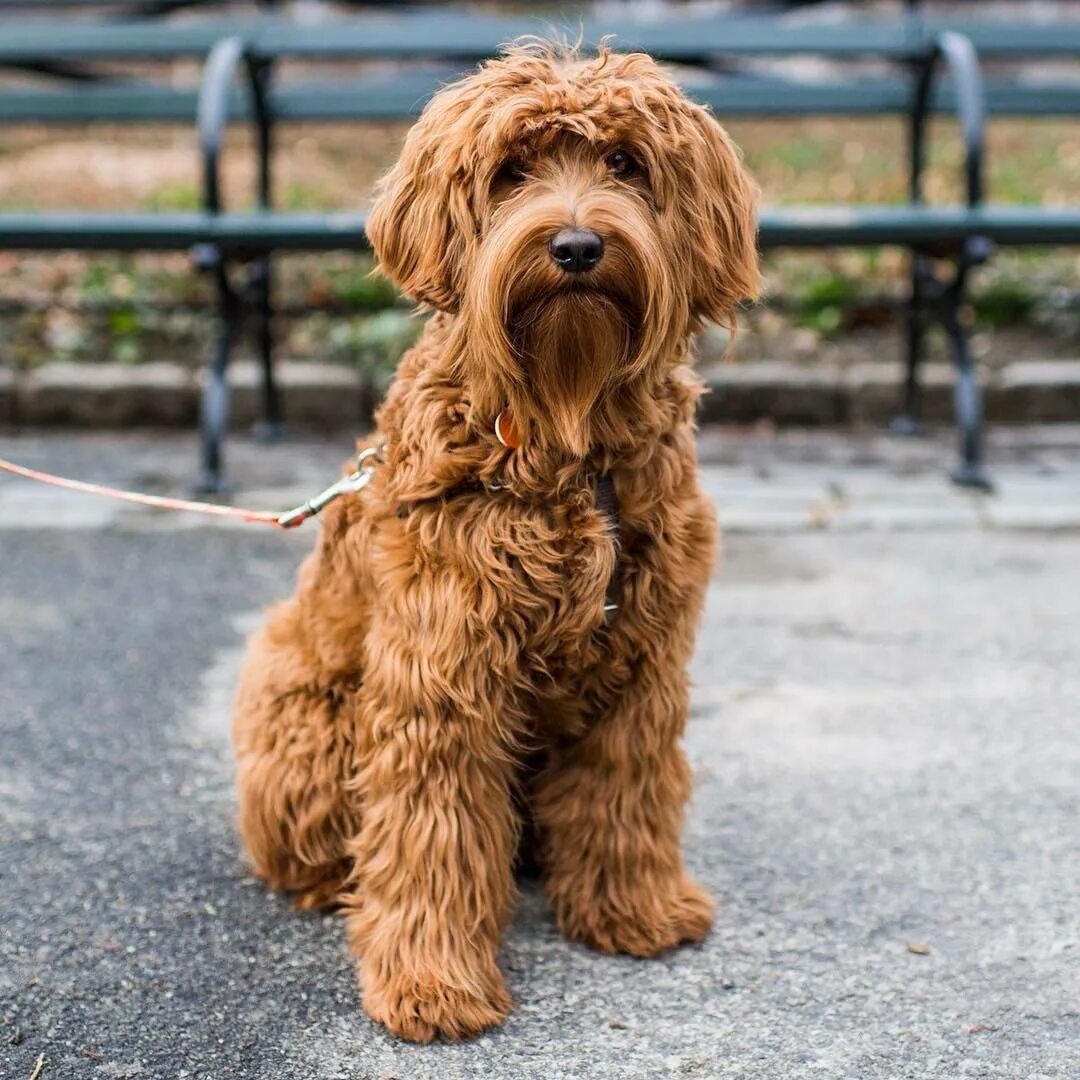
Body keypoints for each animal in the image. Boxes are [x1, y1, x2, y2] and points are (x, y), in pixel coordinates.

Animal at [236, 44, 760, 1045]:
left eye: (626, 163)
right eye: (512, 171)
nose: (577, 246)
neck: (568, 438)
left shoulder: (645, 662)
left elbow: (628, 785)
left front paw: (635, 911)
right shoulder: (441, 670)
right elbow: (429, 832)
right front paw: (431, 983)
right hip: (303, 708)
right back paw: (331, 884)